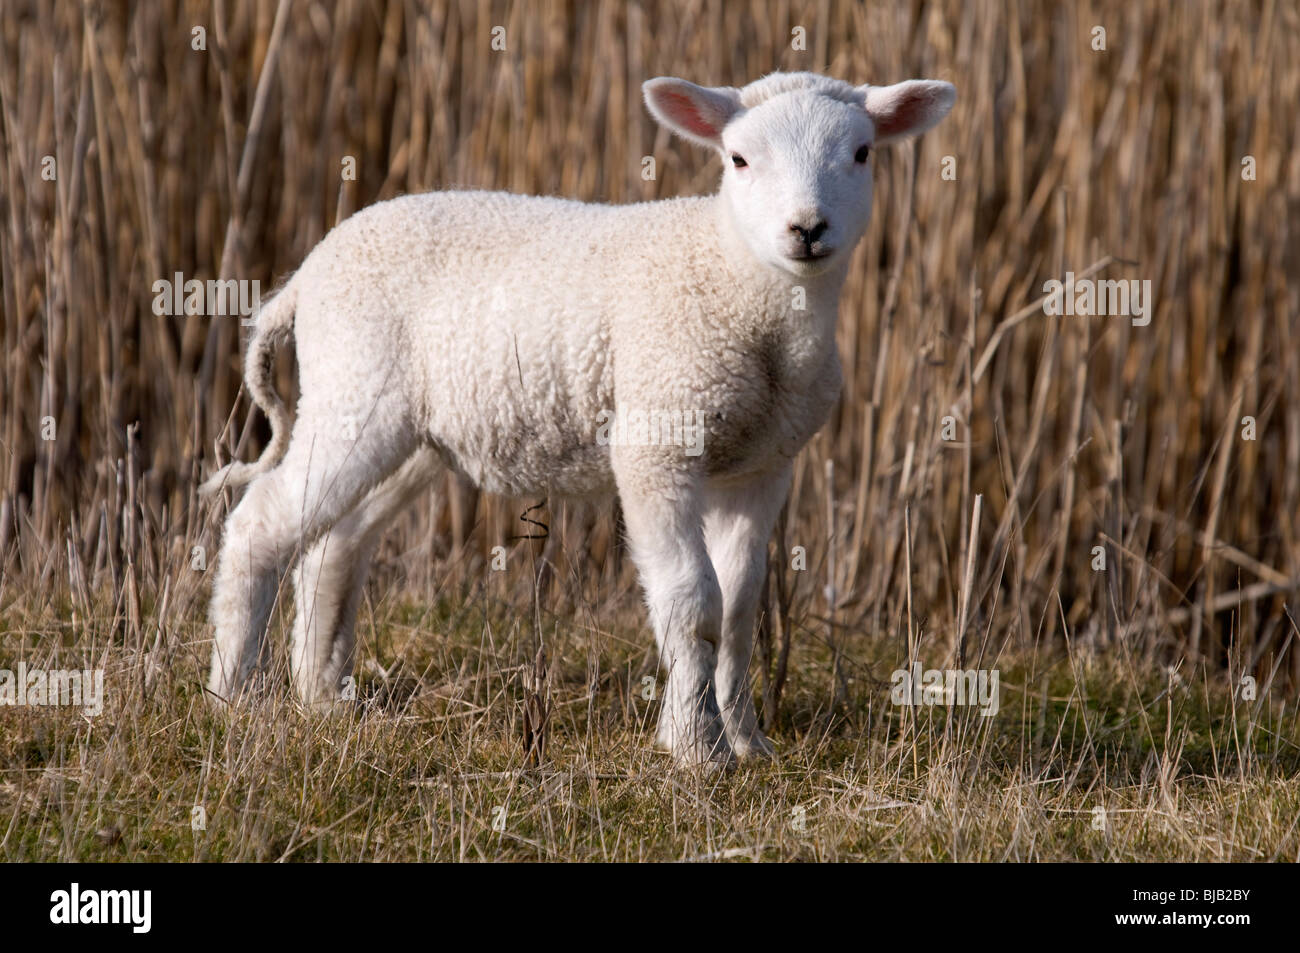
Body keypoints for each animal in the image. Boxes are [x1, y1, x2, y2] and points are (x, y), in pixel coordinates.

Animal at [201, 70, 956, 768]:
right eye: (739, 159)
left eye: (861, 153)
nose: (807, 230)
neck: (733, 276)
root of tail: (305, 275)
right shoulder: (656, 442)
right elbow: (693, 600)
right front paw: (696, 747)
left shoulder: (762, 464)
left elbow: (741, 608)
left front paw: (746, 741)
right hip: (353, 387)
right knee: (262, 522)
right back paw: (234, 695)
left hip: (414, 434)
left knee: (335, 543)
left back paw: (323, 696)